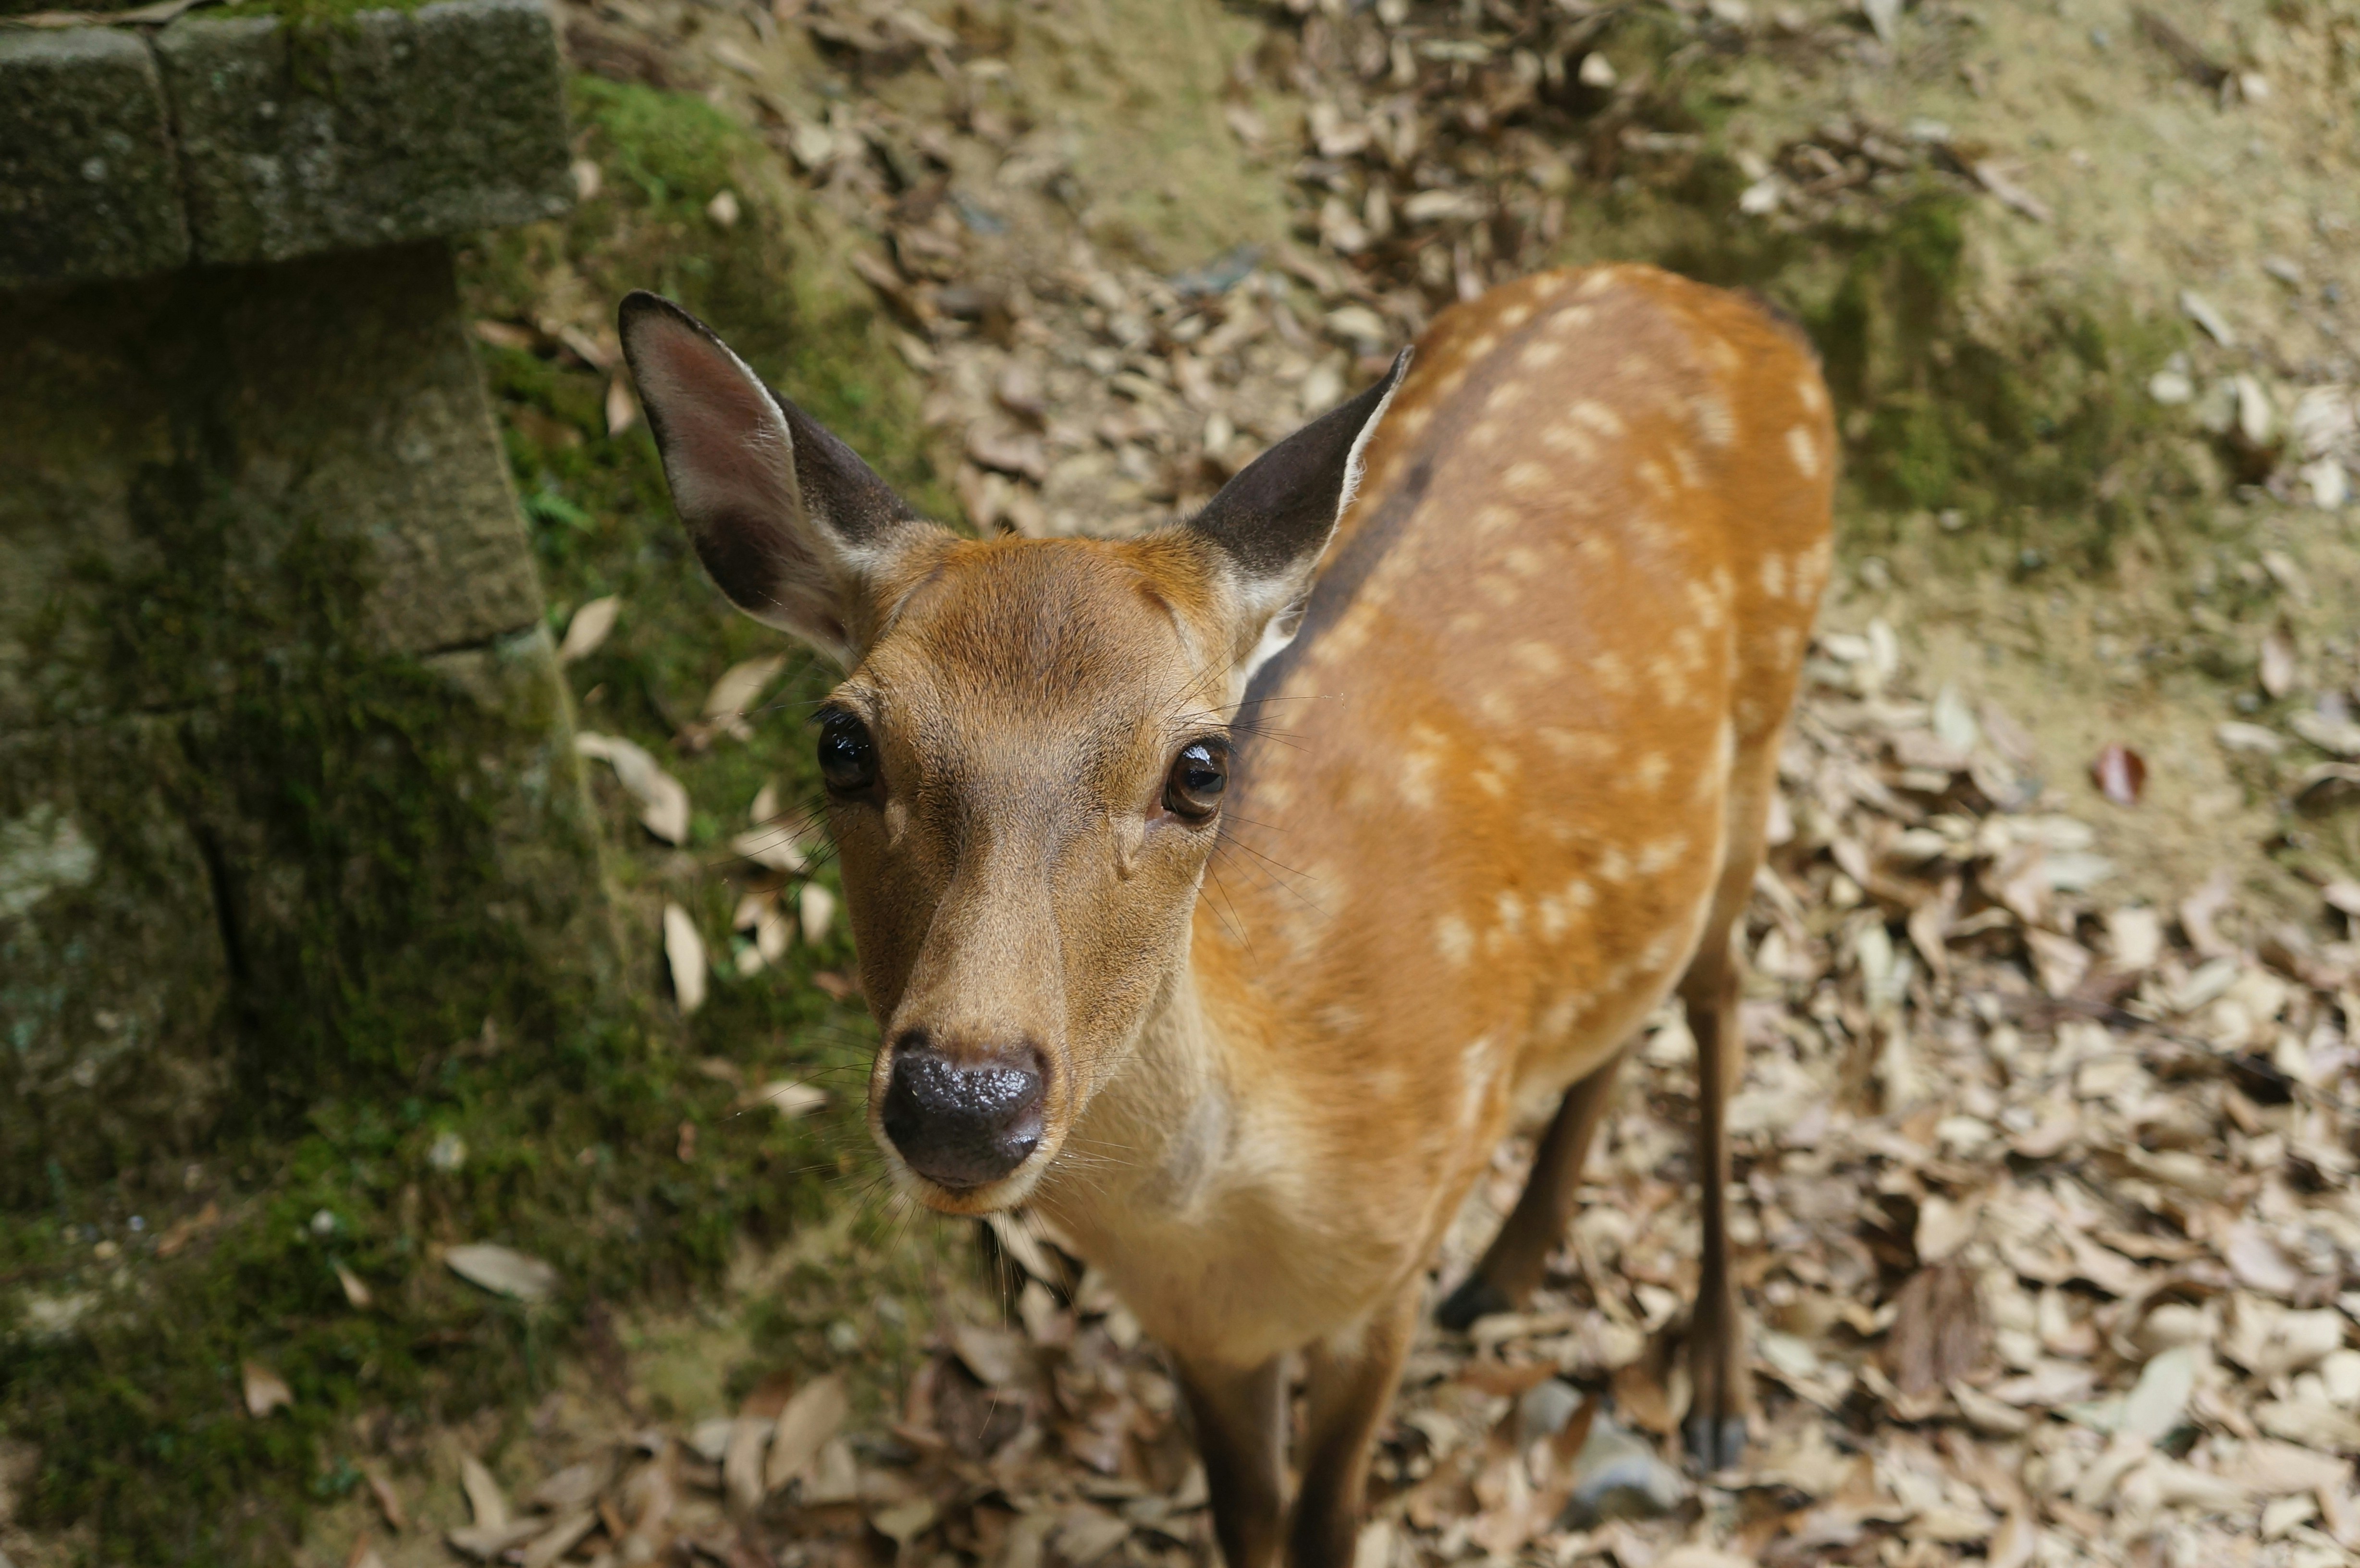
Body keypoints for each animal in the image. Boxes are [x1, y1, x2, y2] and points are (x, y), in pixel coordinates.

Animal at [619, 261, 1834, 1568]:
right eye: (841, 742)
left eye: (1201, 768)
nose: (960, 1103)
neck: (1232, 1222)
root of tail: (1738, 305)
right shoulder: (1200, 1337)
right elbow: (1246, 1523)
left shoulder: (1386, 1280)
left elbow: (1327, 1522)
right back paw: (1509, 1267)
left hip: (1764, 731)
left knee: (1717, 993)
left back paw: (1717, 1386)